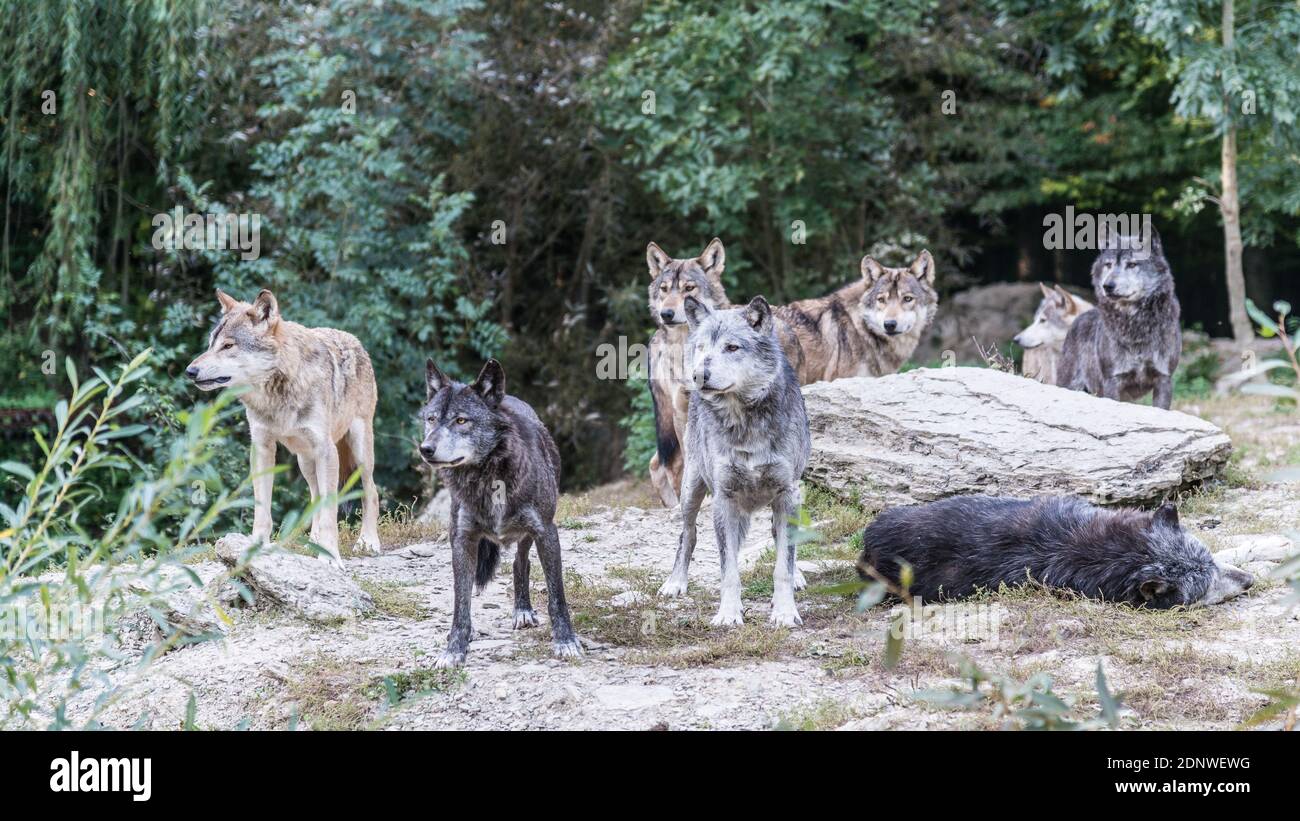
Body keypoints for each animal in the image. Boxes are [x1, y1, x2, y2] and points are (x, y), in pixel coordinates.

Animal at [186, 289, 381, 566]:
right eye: (211, 344)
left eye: (228, 346)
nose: (190, 371)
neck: (277, 392)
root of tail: (354, 339)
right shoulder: (262, 447)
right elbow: (262, 510)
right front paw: (255, 548)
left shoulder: (326, 451)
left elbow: (331, 513)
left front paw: (331, 557)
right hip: (305, 461)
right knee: (315, 496)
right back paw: (314, 541)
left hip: (359, 451)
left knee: (370, 492)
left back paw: (368, 542)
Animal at [419, 358, 581, 667]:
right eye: (431, 419)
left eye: (461, 420)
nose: (426, 449)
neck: (488, 477)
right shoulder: (462, 539)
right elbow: (460, 603)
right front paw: (454, 650)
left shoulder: (546, 531)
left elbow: (557, 596)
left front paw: (565, 641)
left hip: (529, 533)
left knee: (520, 563)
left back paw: (523, 610)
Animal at [657, 295, 812, 627]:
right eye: (703, 347)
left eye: (731, 347)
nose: (698, 376)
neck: (745, 423)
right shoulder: (724, 499)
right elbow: (728, 570)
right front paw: (728, 613)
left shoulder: (787, 495)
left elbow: (783, 563)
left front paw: (785, 611)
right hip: (692, 491)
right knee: (687, 535)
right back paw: (675, 583)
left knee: (779, 539)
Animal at [1056, 226, 1181, 409]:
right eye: (1108, 265)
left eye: (1132, 264)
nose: (1107, 286)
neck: (1136, 325)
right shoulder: (1113, 380)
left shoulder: (1164, 379)